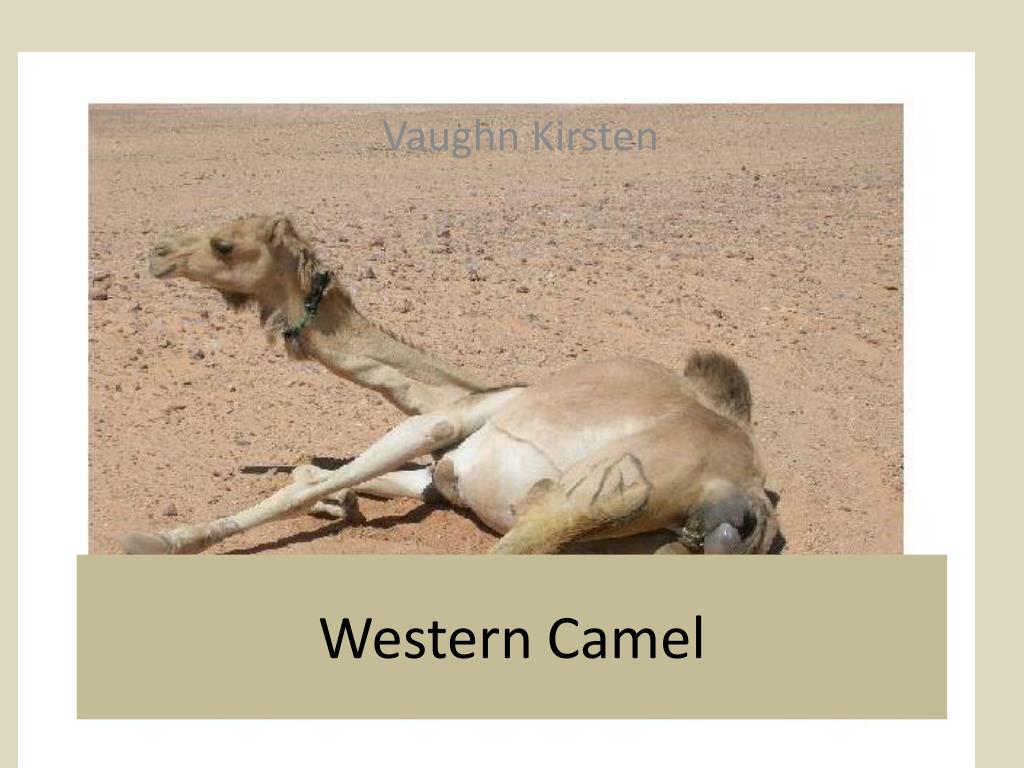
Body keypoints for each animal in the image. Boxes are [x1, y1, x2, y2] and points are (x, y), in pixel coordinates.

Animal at [122, 215, 780, 555]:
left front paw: (167, 539)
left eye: (224, 243)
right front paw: (347, 504)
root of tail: (748, 502)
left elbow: (307, 483)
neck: (453, 388)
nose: (156, 252)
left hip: (604, 489)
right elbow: (320, 474)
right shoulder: (441, 476)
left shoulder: (440, 423)